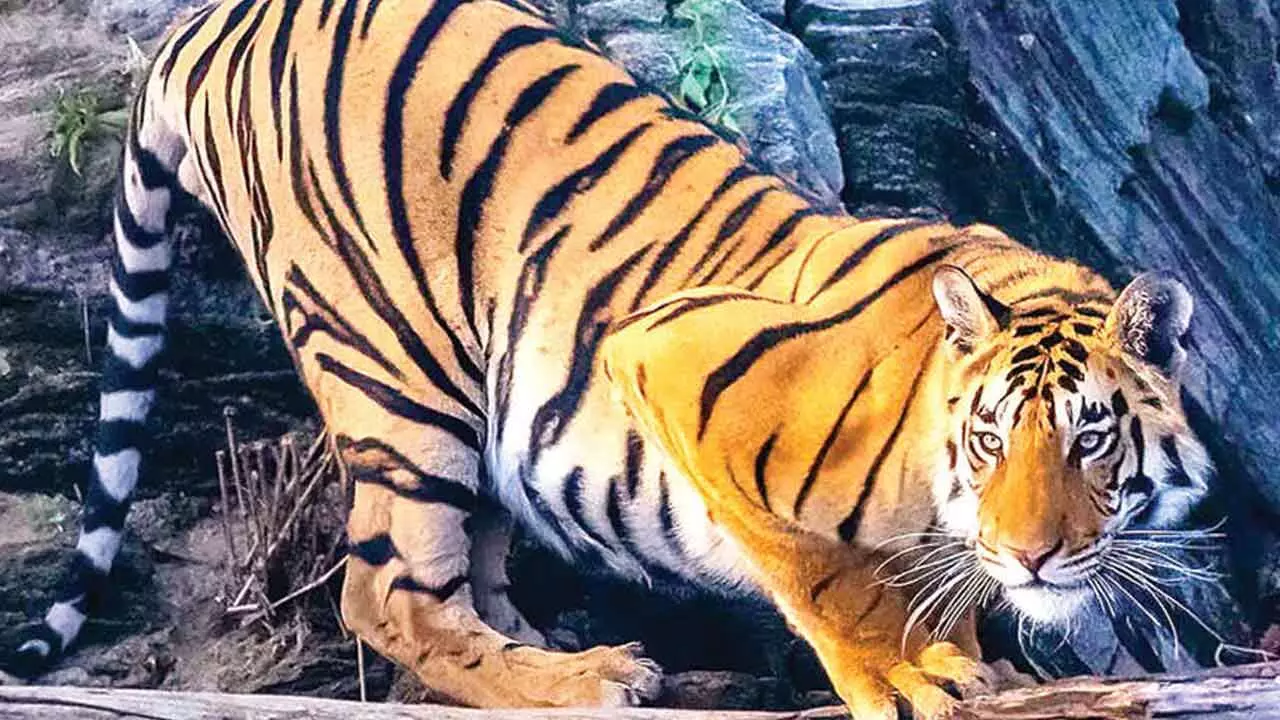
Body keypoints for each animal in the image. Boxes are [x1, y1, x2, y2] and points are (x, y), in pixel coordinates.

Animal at [8, 0, 1219, 716]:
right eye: (989, 438)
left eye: (1090, 439)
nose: (1030, 557)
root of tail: (214, 18)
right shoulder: (677, 366)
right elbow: (825, 576)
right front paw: (901, 678)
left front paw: (970, 658)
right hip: (394, 370)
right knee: (389, 594)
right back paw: (582, 680)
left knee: (468, 570)